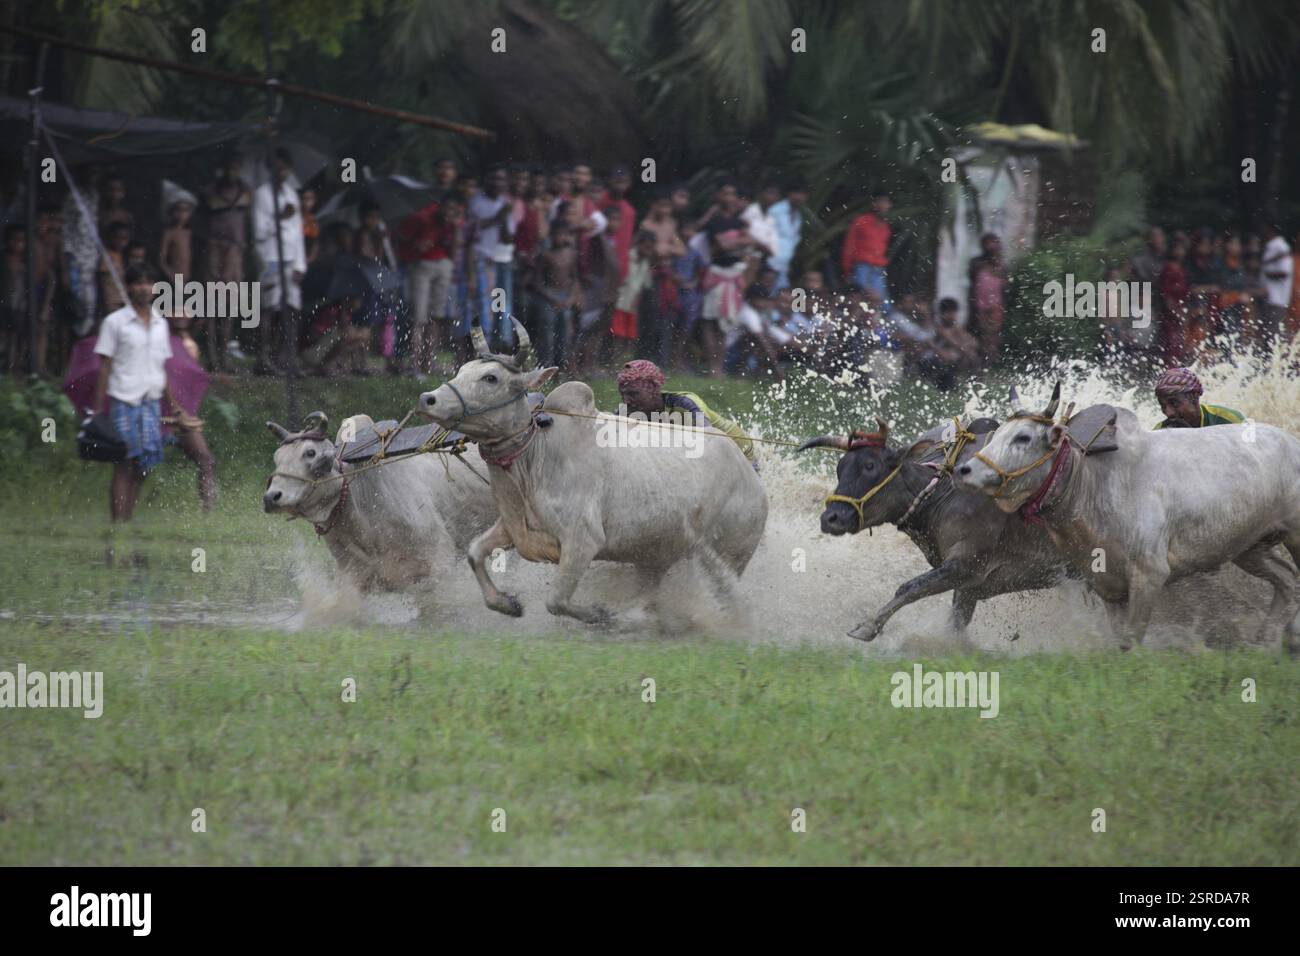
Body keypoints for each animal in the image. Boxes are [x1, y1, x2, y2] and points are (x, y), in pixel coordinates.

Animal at [415, 318, 768, 626]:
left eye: (491, 378)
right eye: (462, 370)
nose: (427, 399)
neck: (537, 453)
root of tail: (752, 478)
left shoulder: (582, 540)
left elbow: (556, 600)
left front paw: (602, 615)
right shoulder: (512, 528)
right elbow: (474, 553)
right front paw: (507, 603)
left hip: (729, 556)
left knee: (729, 600)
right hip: (656, 556)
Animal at [799, 418, 1074, 642]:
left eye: (870, 466)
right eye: (840, 467)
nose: (830, 518)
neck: (944, 496)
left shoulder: (966, 565)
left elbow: (910, 587)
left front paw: (867, 626)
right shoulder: (968, 585)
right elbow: (956, 619)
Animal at [955, 383, 1300, 651]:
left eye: (1023, 437)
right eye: (998, 433)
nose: (964, 469)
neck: (1091, 483)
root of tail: (1290, 440)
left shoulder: (1150, 574)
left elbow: (1133, 640)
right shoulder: (1106, 584)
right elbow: (1121, 643)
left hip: (1293, 534)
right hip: (1250, 547)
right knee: (1286, 580)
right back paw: (1266, 644)